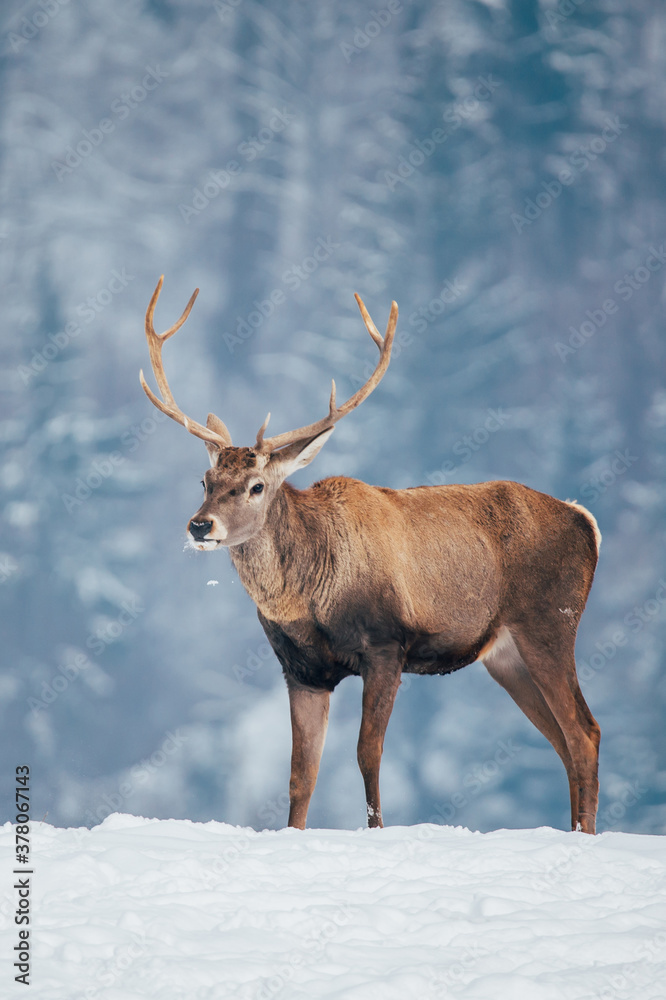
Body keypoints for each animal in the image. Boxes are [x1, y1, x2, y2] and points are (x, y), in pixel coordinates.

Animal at [139, 276, 602, 834]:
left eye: (256, 486)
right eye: (205, 480)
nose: (200, 525)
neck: (309, 600)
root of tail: (587, 523)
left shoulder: (387, 644)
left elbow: (368, 754)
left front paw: (375, 831)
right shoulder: (301, 670)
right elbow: (301, 774)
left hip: (550, 624)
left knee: (584, 734)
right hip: (506, 653)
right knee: (563, 740)